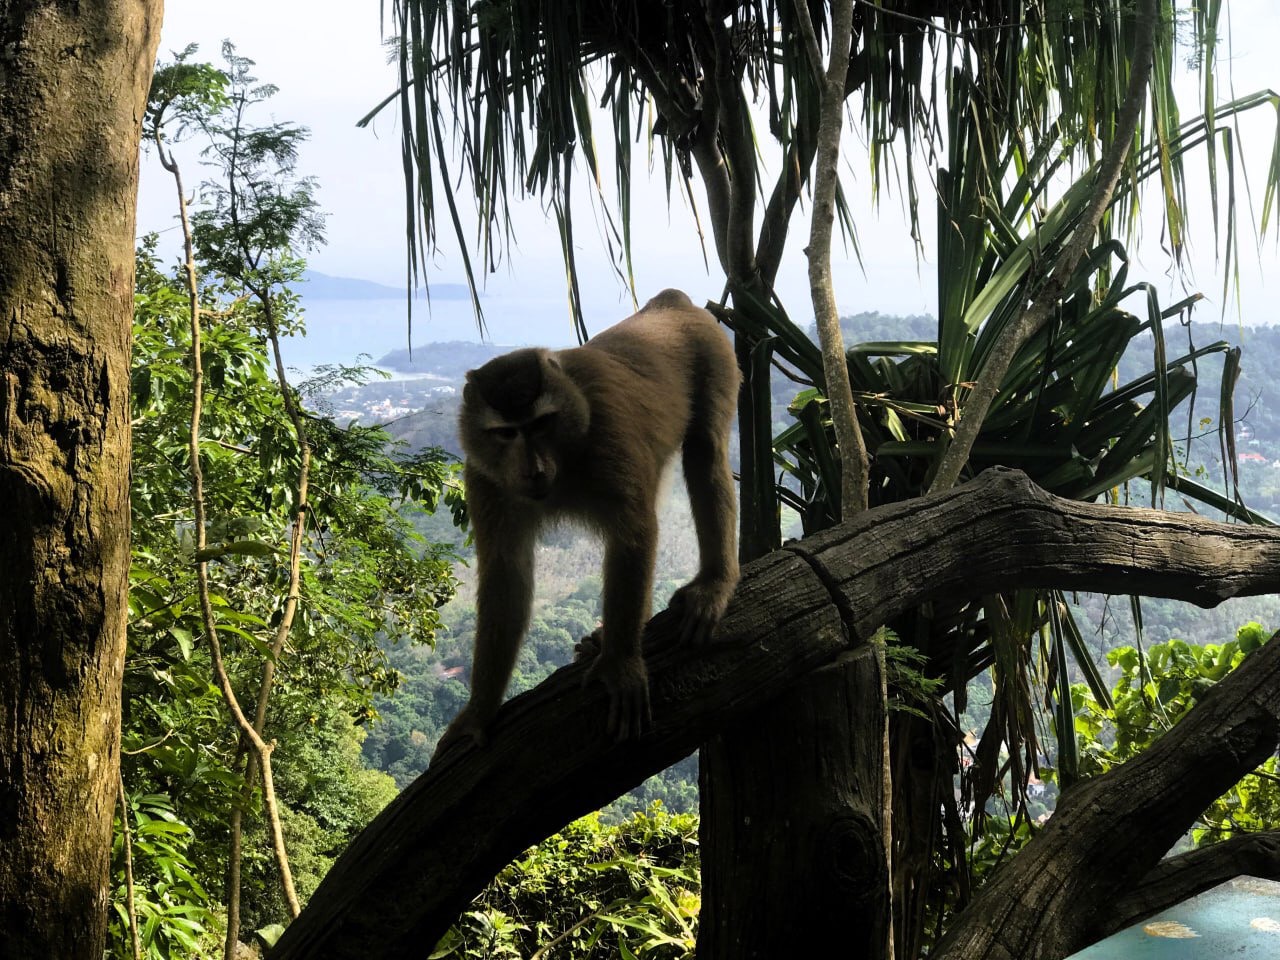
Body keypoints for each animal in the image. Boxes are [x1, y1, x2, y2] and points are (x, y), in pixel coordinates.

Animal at [435, 288, 747, 757]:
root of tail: (669, 303)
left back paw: (713, 582)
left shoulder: (609, 437)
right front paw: (478, 712)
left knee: (704, 454)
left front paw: (619, 664)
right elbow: (507, 574)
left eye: (541, 424)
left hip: (715, 353)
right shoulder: (486, 479)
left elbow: (633, 535)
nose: (533, 469)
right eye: (506, 433)